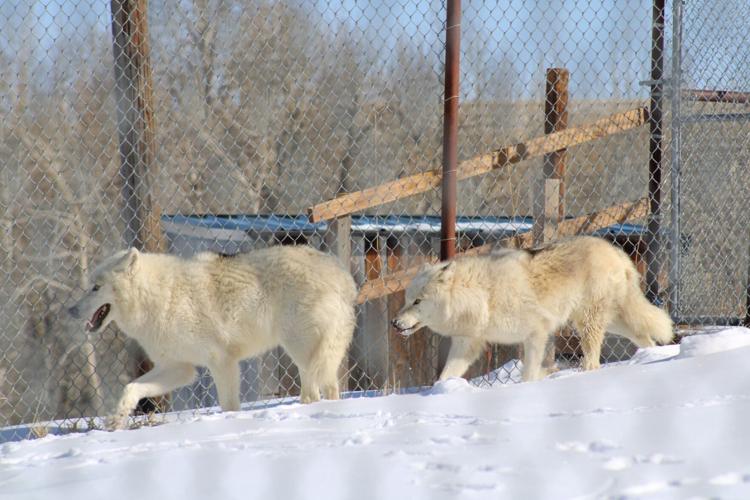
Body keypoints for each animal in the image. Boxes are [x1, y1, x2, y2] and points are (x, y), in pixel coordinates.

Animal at [68, 245, 357, 429]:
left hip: (302, 352)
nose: (70, 310)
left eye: (96, 287)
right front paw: (117, 420)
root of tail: (342, 273)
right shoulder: (180, 368)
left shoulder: (222, 362)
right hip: (313, 357)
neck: (162, 297)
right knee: (329, 390)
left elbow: (228, 406)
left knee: (316, 393)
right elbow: (131, 387)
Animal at [392, 236, 673, 382]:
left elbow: (528, 373)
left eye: (417, 301)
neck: (483, 294)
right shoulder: (467, 343)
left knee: (594, 360)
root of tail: (617, 252)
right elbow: (445, 376)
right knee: (645, 335)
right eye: (406, 300)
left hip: (588, 323)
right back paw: (652, 357)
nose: (395, 323)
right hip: (612, 322)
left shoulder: (538, 332)